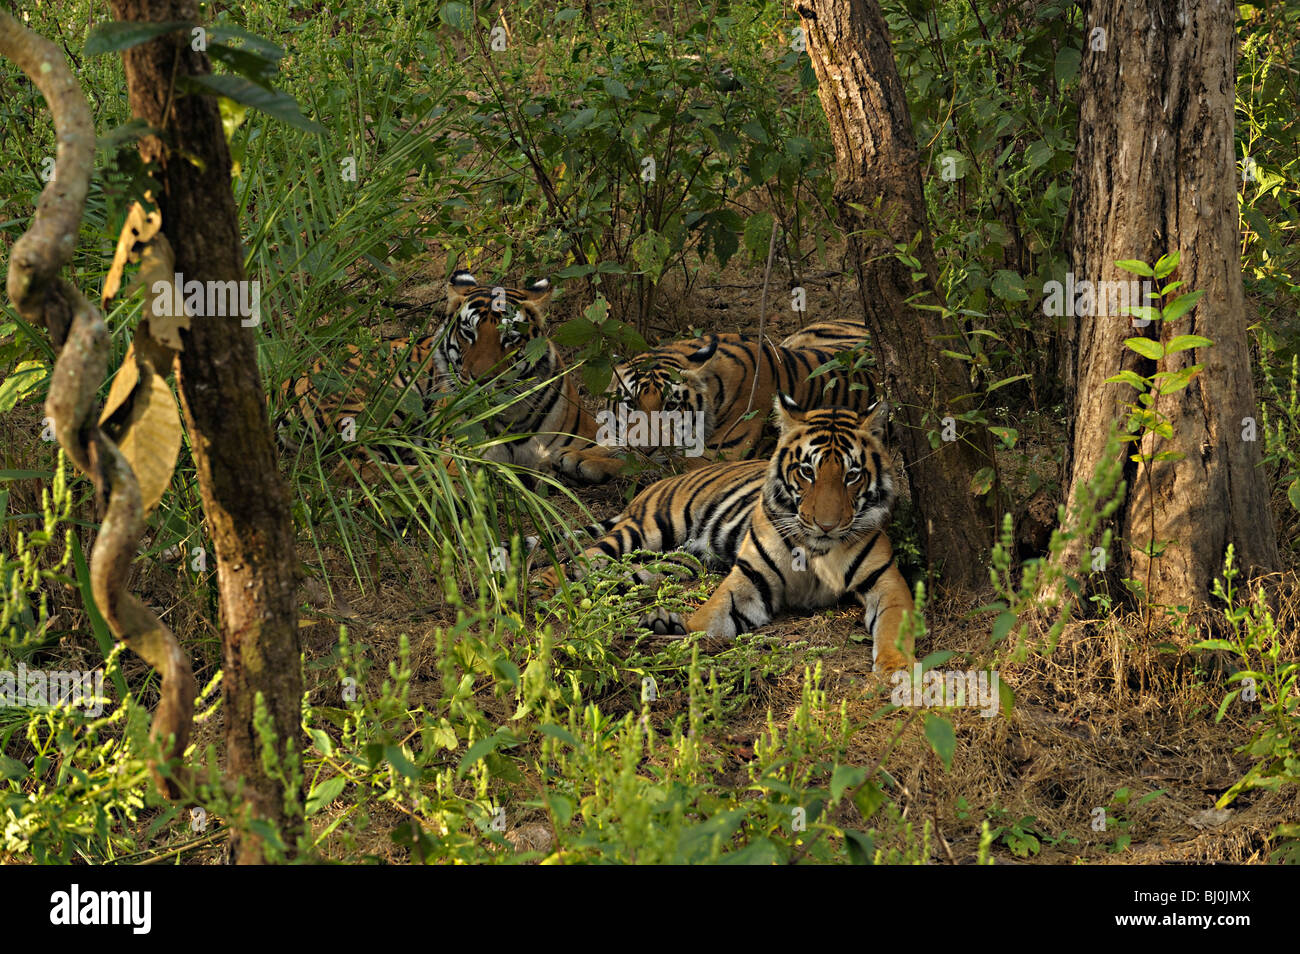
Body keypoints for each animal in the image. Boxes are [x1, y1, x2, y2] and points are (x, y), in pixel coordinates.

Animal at [280, 272, 624, 483]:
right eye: (469, 333)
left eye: (510, 338)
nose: (480, 380)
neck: (510, 416)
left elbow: (624, 451)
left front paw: (584, 461)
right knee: (356, 465)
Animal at [539, 394, 915, 672]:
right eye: (807, 471)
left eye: (852, 475)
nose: (826, 524)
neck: (816, 550)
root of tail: (656, 483)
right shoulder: (751, 577)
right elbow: (711, 613)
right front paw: (677, 629)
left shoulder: (886, 581)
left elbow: (893, 627)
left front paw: (896, 671)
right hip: (645, 530)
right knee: (581, 560)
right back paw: (544, 591)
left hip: (671, 563)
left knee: (615, 577)